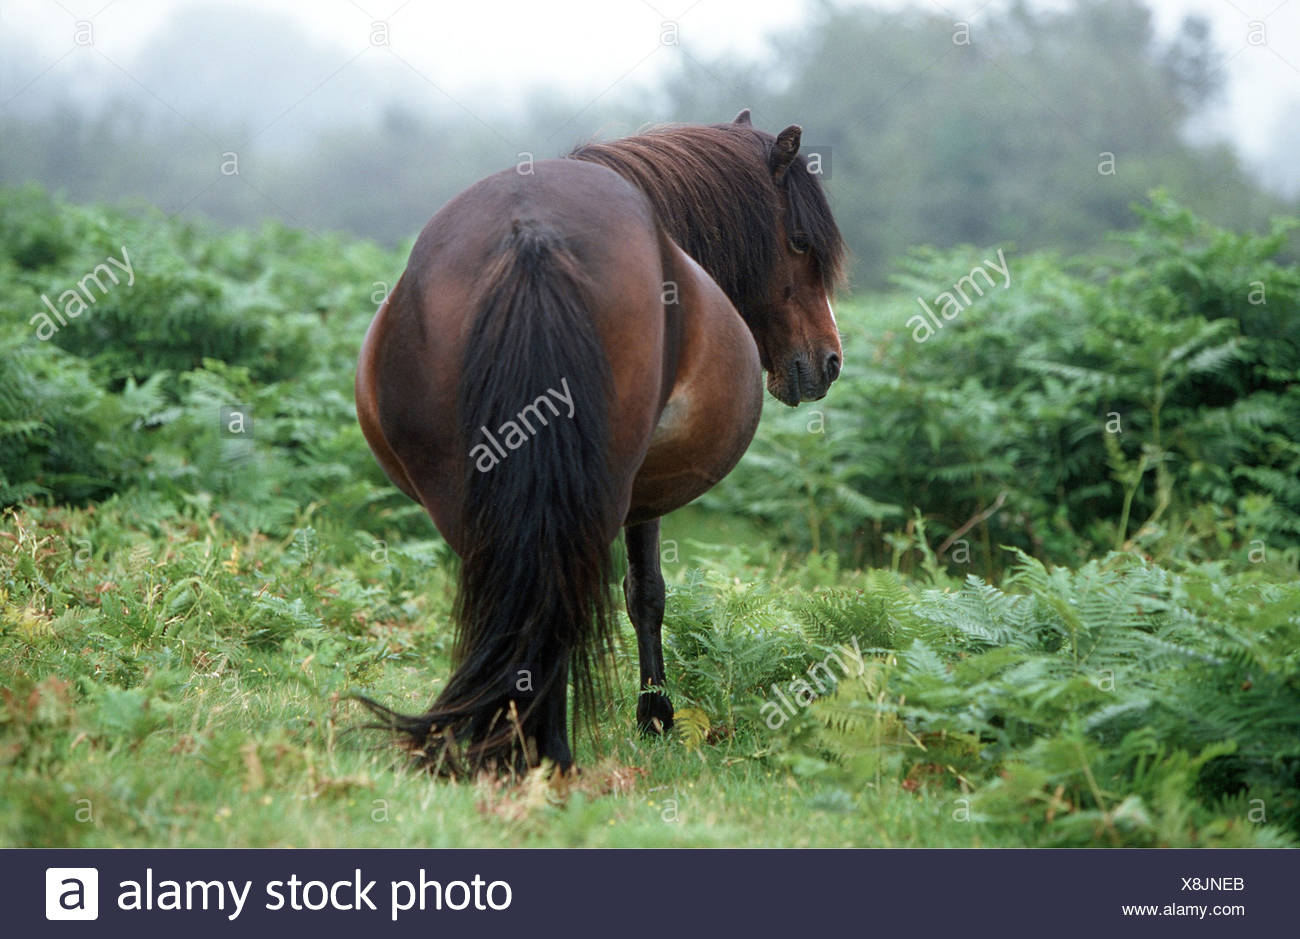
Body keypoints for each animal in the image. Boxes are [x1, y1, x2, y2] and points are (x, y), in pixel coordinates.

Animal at [355, 108, 846, 774]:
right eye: (798, 242)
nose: (828, 361)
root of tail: (531, 235)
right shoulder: (641, 498)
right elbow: (646, 593)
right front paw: (655, 715)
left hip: (461, 493)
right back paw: (551, 749)